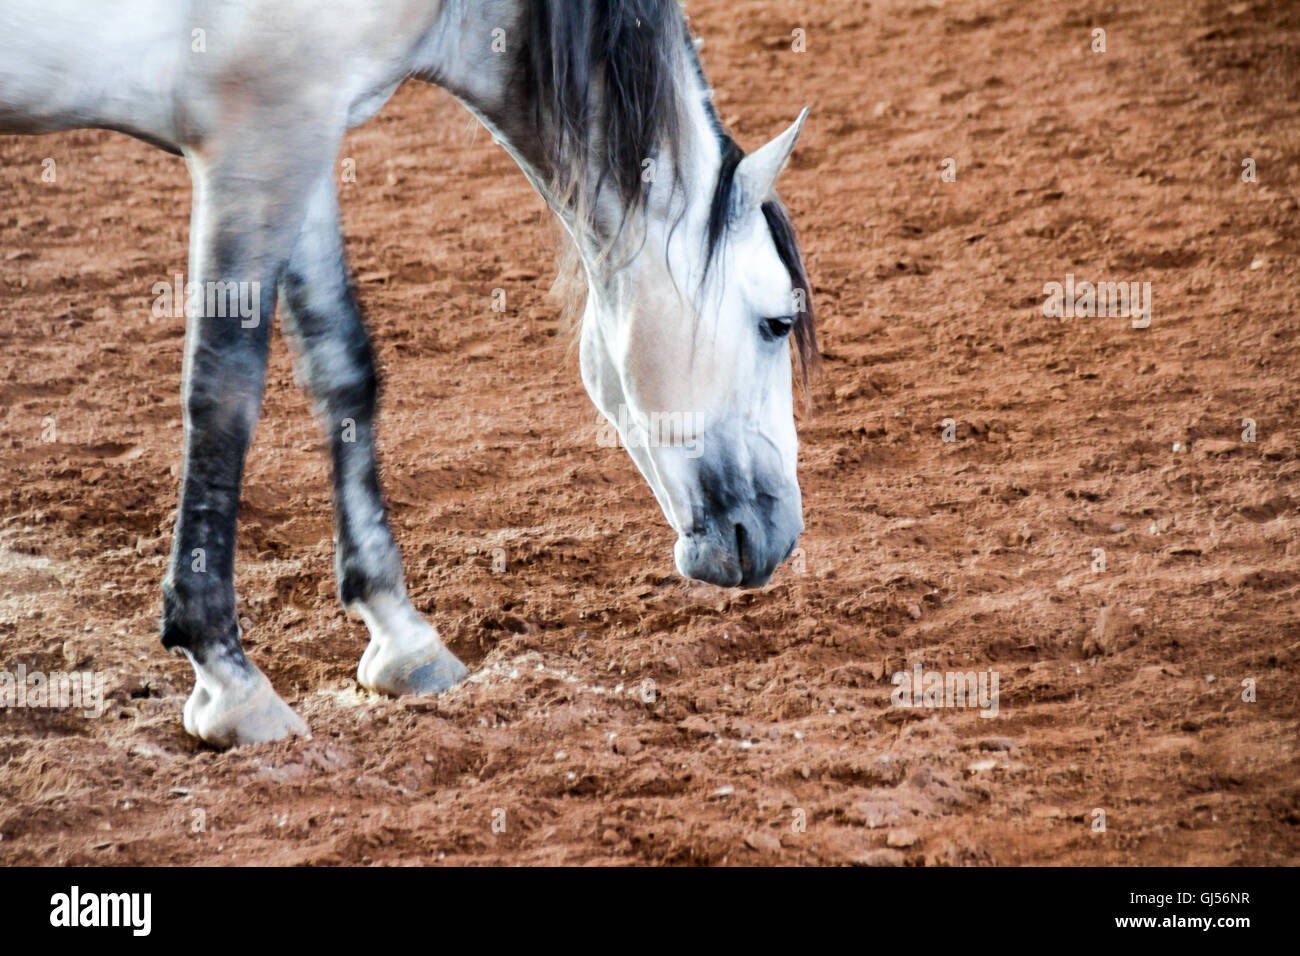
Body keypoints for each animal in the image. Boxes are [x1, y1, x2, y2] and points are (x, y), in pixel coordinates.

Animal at [0, 0, 817, 747]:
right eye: (777, 322)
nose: (780, 535)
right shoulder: (260, 134)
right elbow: (224, 392)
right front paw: (226, 676)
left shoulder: (308, 135)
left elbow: (344, 369)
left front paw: (399, 633)